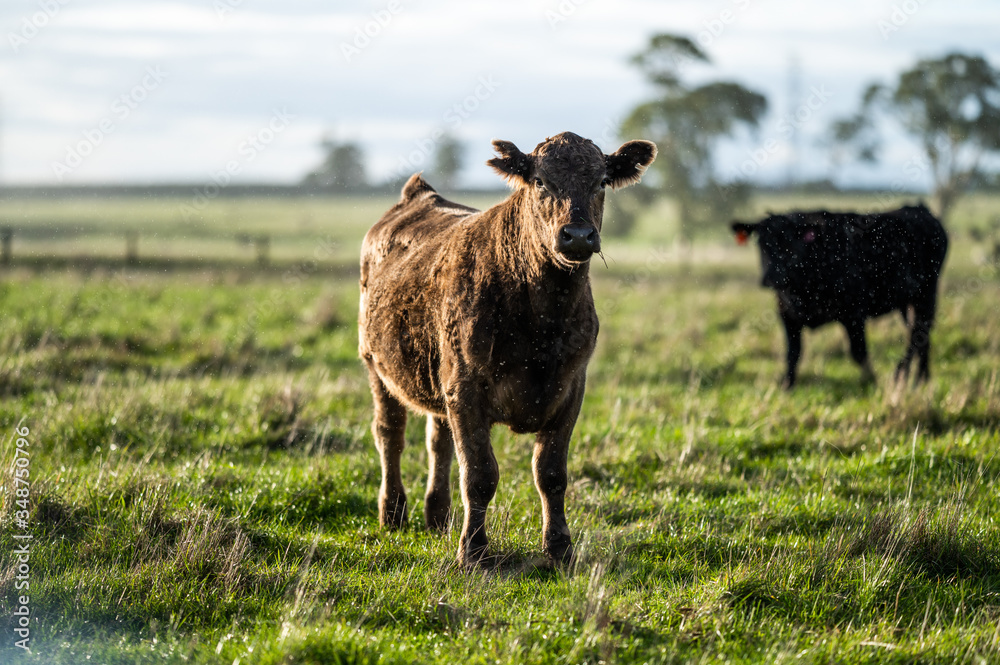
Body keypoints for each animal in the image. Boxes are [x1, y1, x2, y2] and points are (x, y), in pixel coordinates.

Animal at [359, 132, 657, 566]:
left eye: (601, 181)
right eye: (540, 182)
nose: (578, 235)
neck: (543, 321)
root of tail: (419, 196)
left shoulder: (571, 388)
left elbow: (550, 474)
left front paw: (559, 548)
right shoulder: (466, 388)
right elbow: (480, 474)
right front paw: (473, 551)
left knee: (438, 442)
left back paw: (438, 516)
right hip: (377, 368)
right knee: (390, 435)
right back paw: (393, 513)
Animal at [731, 204, 948, 389]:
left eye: (790, 243)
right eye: (761, 243)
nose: (770, 277)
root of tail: (919, 209)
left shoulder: (854, 315)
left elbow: (859, 352)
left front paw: (873, 382)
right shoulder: (787, 315)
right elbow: (793, 353)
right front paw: (787, 387)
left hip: (927, 294)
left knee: (919, 332)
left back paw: (904, 375)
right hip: (911, 300)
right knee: (920, 334)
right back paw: (922, 379)